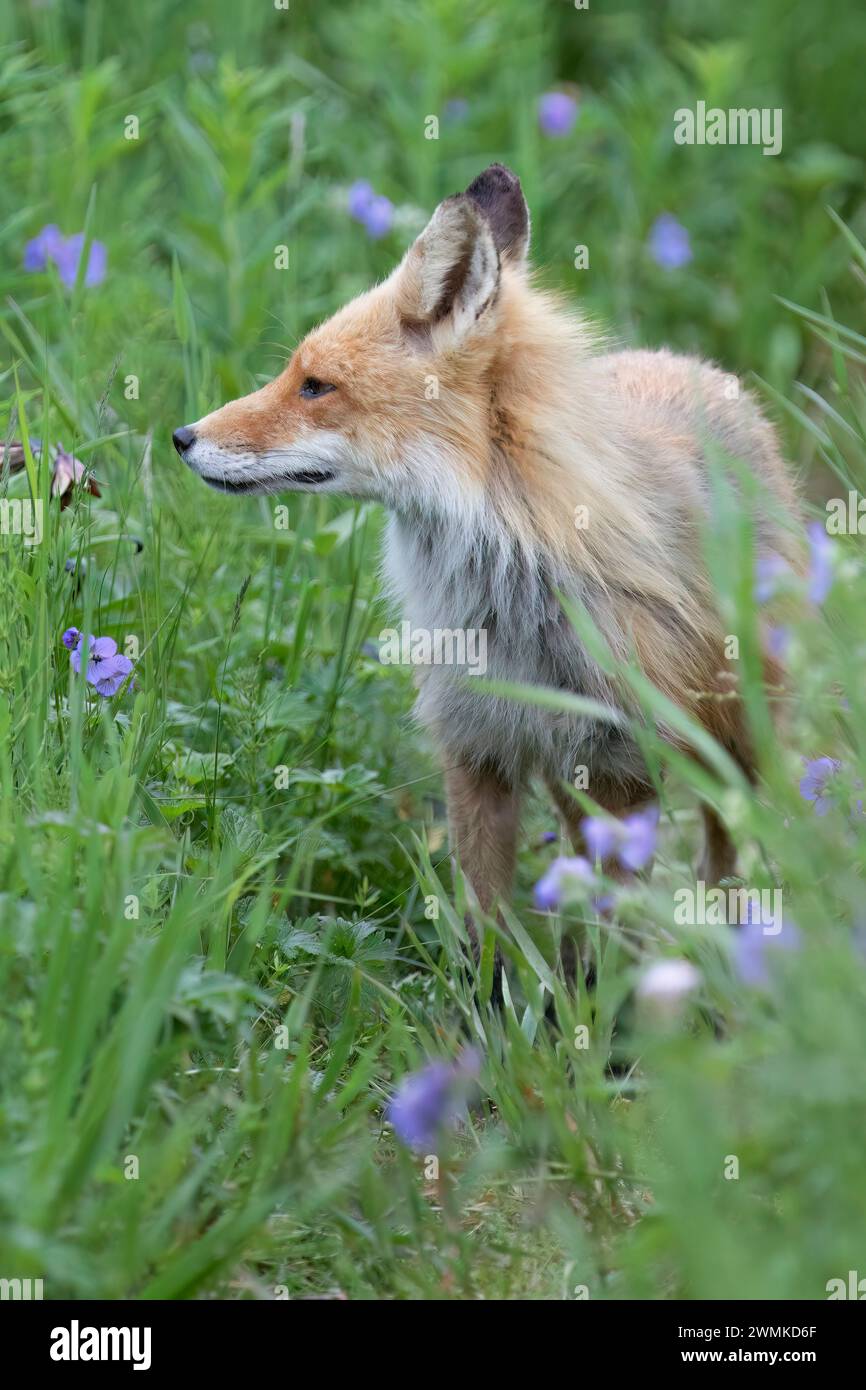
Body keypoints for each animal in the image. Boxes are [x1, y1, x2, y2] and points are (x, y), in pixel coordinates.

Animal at [173, 163, 802, 956]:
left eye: (315, 385)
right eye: (297, 375)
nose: (181, 437)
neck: (512, 592)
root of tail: (700, 367)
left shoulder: (624, 769)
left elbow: (612, 942)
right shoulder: (477, 750)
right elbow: (487, 941)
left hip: (739, 748)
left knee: (730, 861)